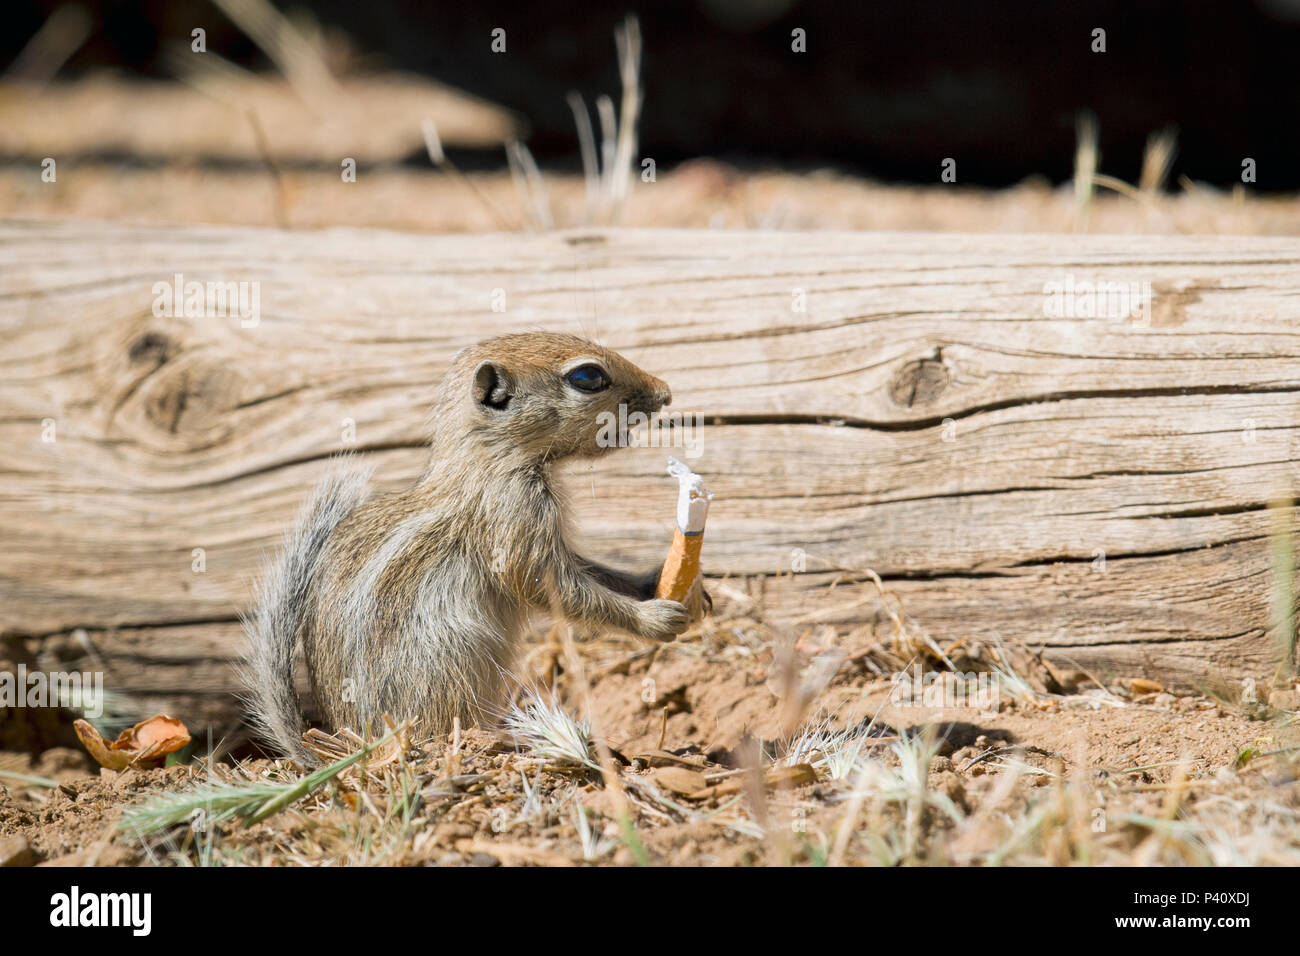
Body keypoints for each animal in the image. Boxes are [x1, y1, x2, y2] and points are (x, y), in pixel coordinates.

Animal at [241, 332, 692, 764]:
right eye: (588, 377)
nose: (667, 392)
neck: (487, 460)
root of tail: (347, 752)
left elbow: (590, 568)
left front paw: (652, 580)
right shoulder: (515, 521)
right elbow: (552, 586)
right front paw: (654, 620)